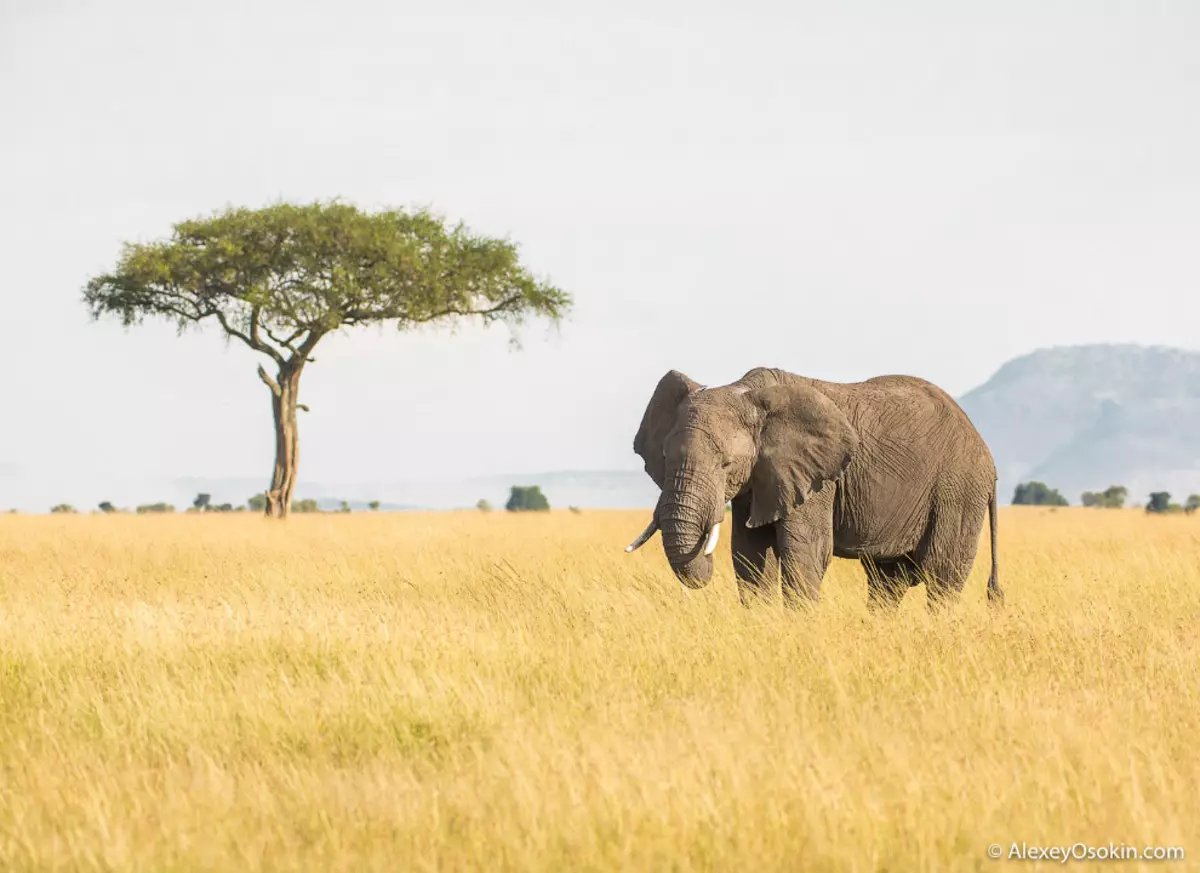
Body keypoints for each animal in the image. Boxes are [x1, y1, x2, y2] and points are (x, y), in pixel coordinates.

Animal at [624, 366, 998, 606]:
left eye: (727, 464)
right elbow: (750, 557)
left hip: (958, 490)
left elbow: (805, 553)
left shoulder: (817, 480)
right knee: (885, 580)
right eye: (664, 457)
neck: (745, 391)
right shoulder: (761, 478)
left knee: (941, 575)